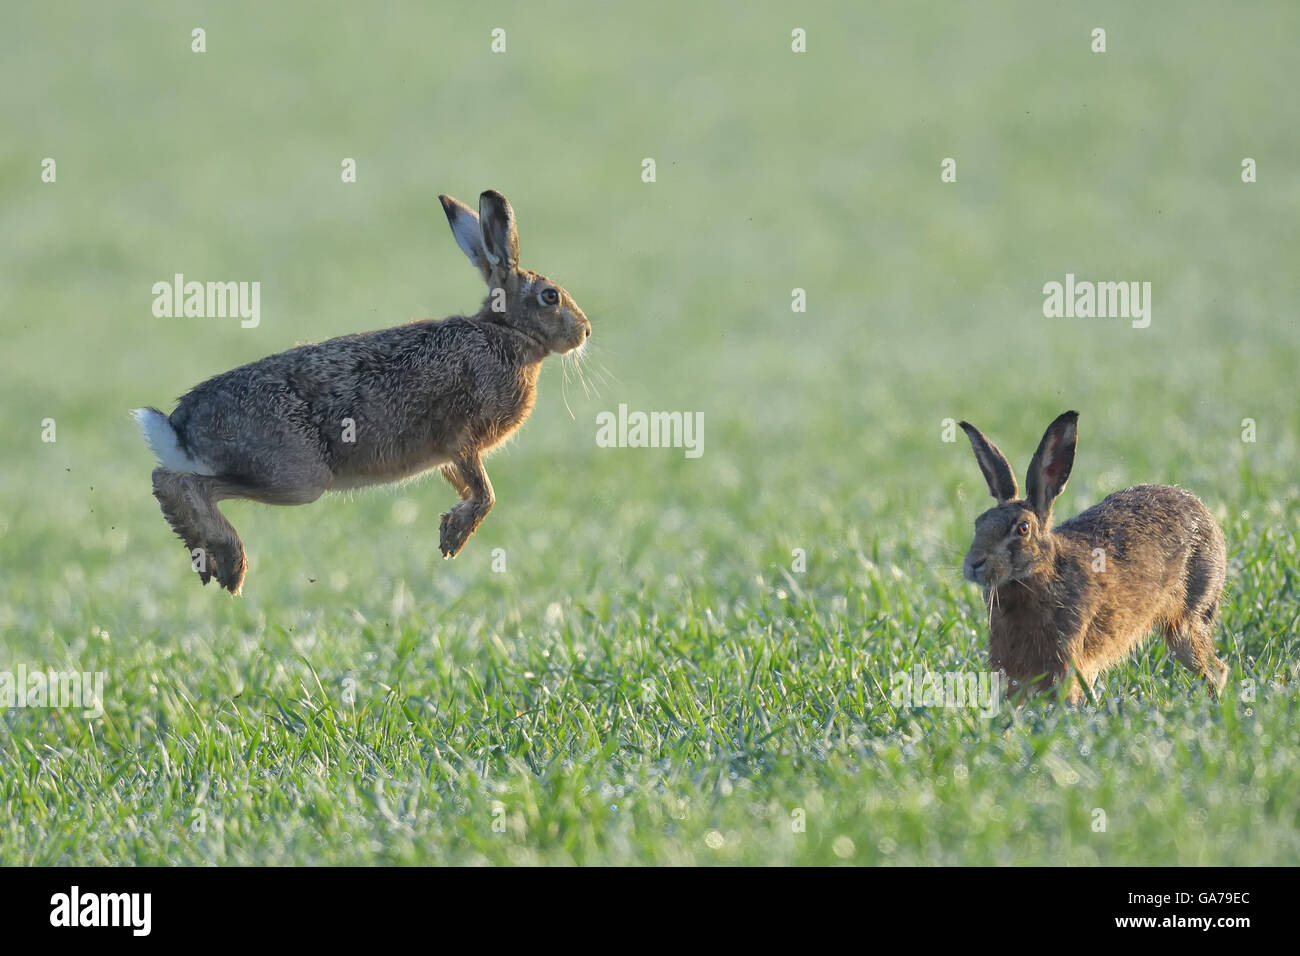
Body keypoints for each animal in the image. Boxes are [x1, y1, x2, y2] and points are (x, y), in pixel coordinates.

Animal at [133, 190, 591, 594]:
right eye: (550, 296)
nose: (585, 331)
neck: (510, 335)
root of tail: (181, 426)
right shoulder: (462, 439)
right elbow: (486, 493)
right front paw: (454, 536)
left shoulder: (451, 457)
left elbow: (470, 488)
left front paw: (450, 525)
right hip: (296, 477)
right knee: (179, 483)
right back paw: (230, 562)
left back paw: (209, 561)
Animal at [958, 410, 1230, 703]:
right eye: (978, 523)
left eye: (1022, 528)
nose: (974, 564)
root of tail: (1204, 513)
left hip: (1187, 621)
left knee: (1214, 669)